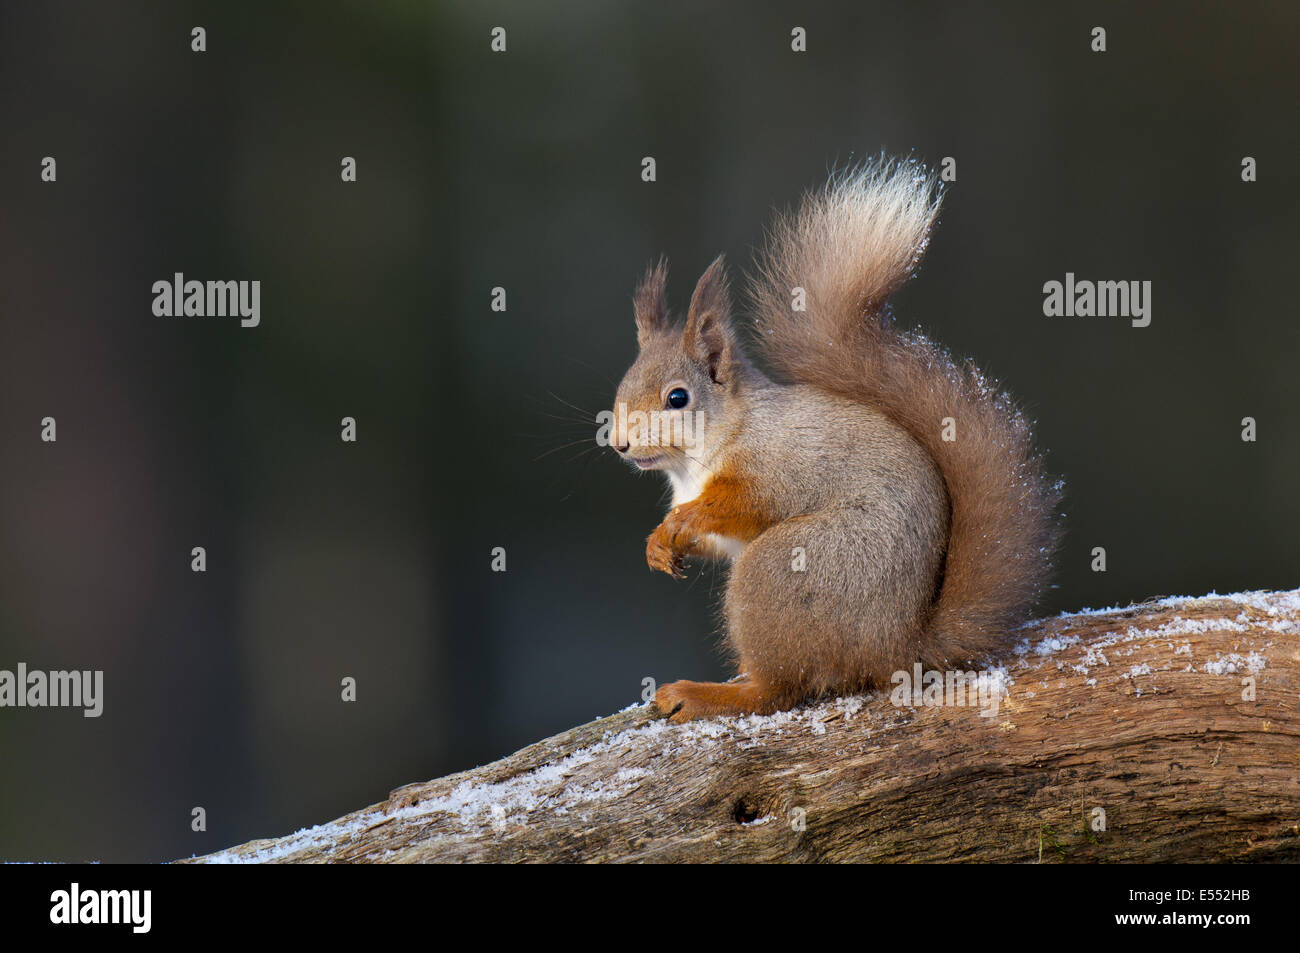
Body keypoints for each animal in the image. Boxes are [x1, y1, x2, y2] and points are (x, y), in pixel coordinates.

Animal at [610, 158, 1063, 723]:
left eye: (677, 398)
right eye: (622, 384)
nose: (619, 444)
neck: (700, 458)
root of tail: (895, 647)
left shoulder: (780, 463)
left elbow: (750, 503)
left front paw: (684, 521)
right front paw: (658, 543)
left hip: (783, 570)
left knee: (780, 690)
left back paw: (708, 693)